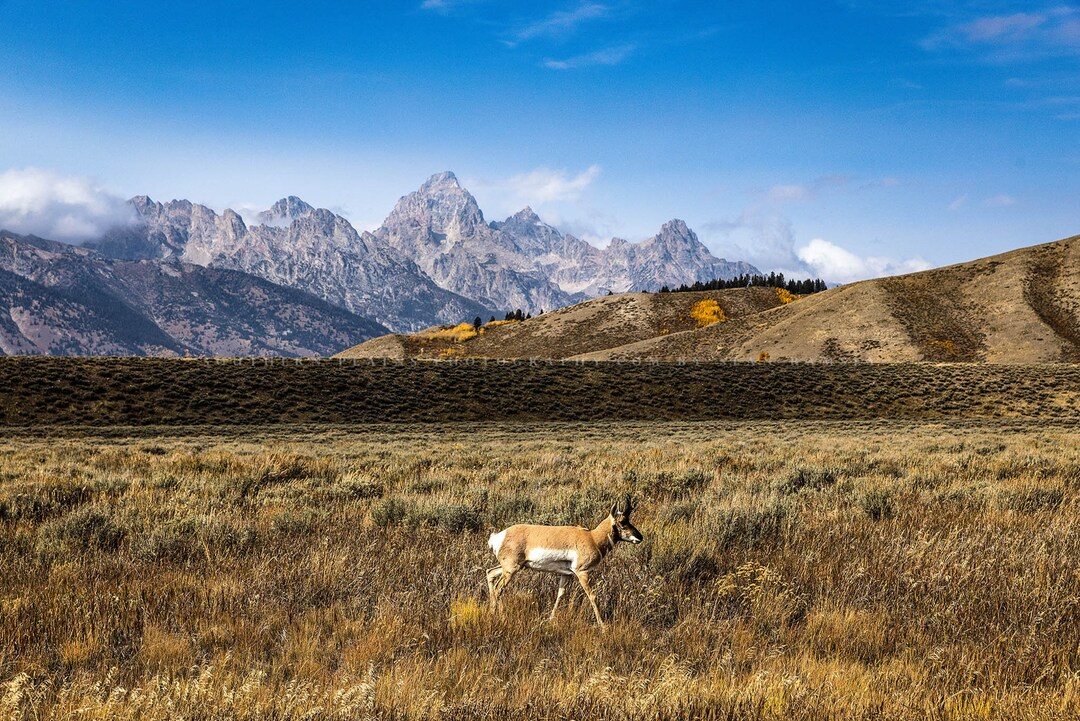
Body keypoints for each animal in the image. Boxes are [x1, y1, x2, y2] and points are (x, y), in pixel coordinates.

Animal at [485, 495, 642, 627]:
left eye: (629, 520)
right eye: (622, 523)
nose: (640, 537)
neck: (593, 538)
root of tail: (499, 535)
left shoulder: (566, 574)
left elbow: (560, 595)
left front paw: (550, 619)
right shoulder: (582, 573)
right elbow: (592, 595)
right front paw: (602, 626)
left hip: (510, 567)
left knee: (490, 573)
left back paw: (493, 612)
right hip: (511, 569)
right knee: (499, 588)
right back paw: (500, 616)